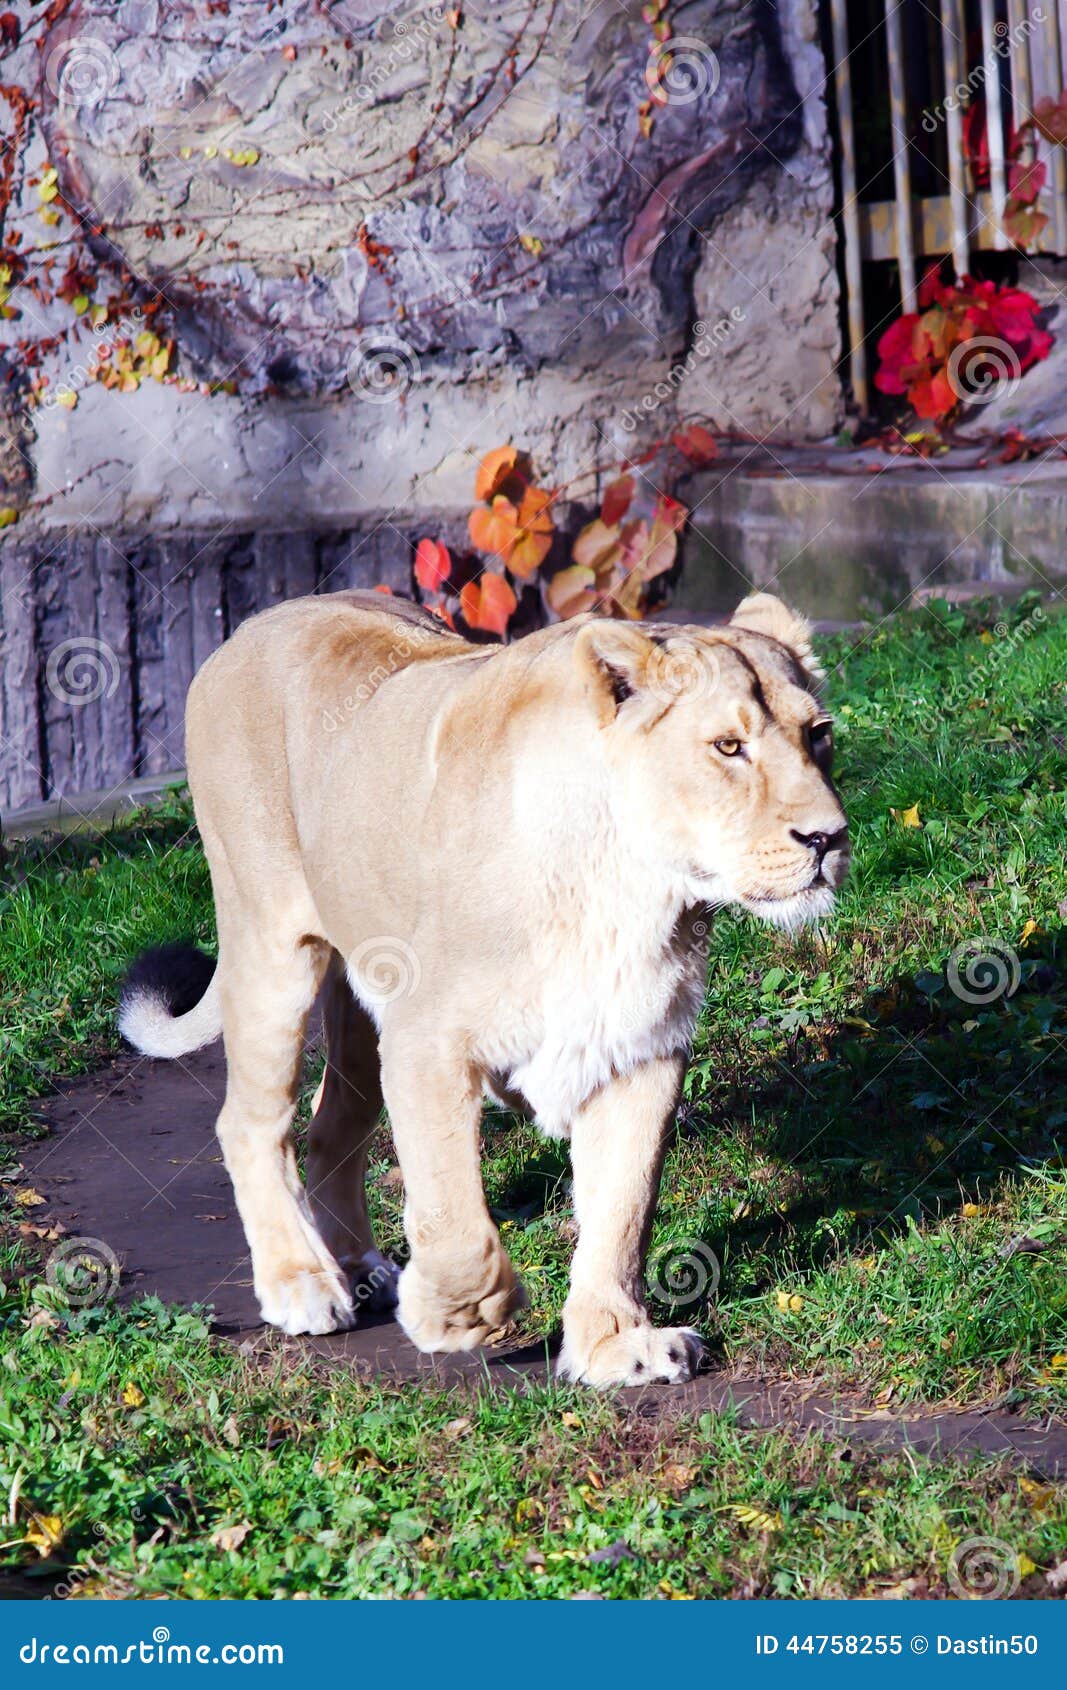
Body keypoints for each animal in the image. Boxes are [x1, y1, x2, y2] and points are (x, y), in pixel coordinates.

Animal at [119, 588, 848, 1387]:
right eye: (727, 747)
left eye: (818, 735)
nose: (828, 838)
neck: (632, 887)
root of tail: (248, 626)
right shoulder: (428, 1039)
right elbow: (452, 1205)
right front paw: (459, 1314)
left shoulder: (641, 1051)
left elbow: (623, 1210)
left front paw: (614, 1344)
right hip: (271, 948)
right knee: (251, 1122)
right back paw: (302, 1283)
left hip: (359, 1001)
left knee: (332, 1122)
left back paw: (359, 1269)